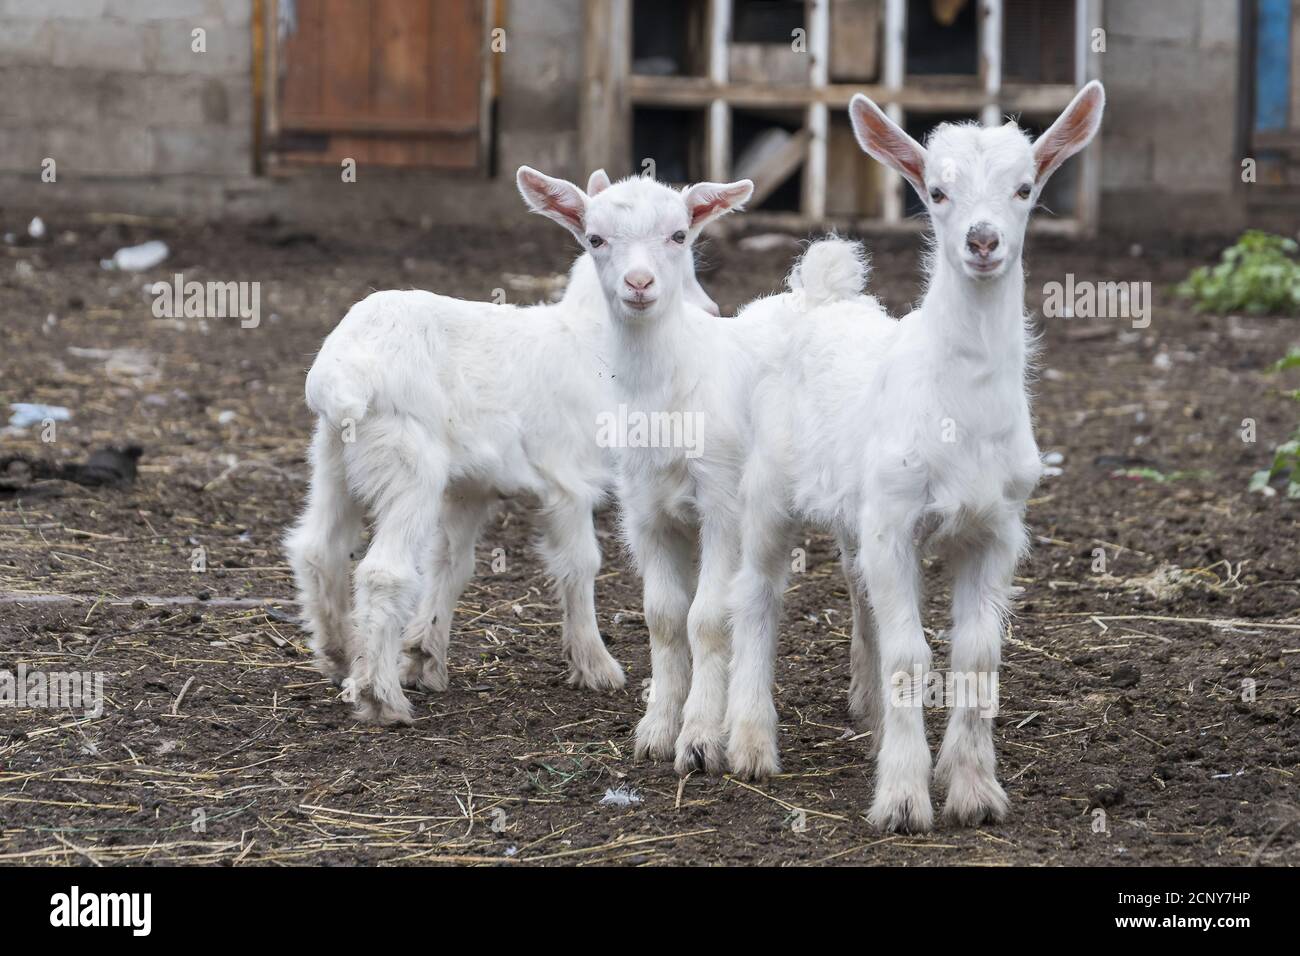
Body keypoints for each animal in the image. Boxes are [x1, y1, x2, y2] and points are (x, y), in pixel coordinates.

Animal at [284, 170, 720, 724]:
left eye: (679, 235)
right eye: (596, 238)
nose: (641, 285)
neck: (591, 340)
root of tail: (342, 370)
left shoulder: (469, 486)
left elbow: (451, 564)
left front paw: (423, 657)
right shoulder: (566, 475)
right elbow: (580, 563)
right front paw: (597, 666)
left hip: (334, 457)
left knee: (319, 548)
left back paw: (341, 655)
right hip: (410, 463)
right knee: (383, 571)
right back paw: (381, 698)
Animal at [516, 167, 754, 775]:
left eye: (679, 235)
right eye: (595, 238)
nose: (640, 282)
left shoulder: (724, 506)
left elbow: (707, 617)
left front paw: (700, 740)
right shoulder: (646, 513)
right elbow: (665, 617)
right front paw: (657, 730)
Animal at [724, 83, 1106, 832]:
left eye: (1025, 187)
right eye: (936, 191)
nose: (982, 241)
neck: (960, 404)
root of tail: (815, 295)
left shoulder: (994, 527)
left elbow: (977, 653)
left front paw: (973, 789)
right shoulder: (896, 520)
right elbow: (910, 653)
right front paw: (903, 798)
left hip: (857, 508)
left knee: (857, 587)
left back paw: (869, 714)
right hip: (766, 488)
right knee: (757, 593)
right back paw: (750, 743)